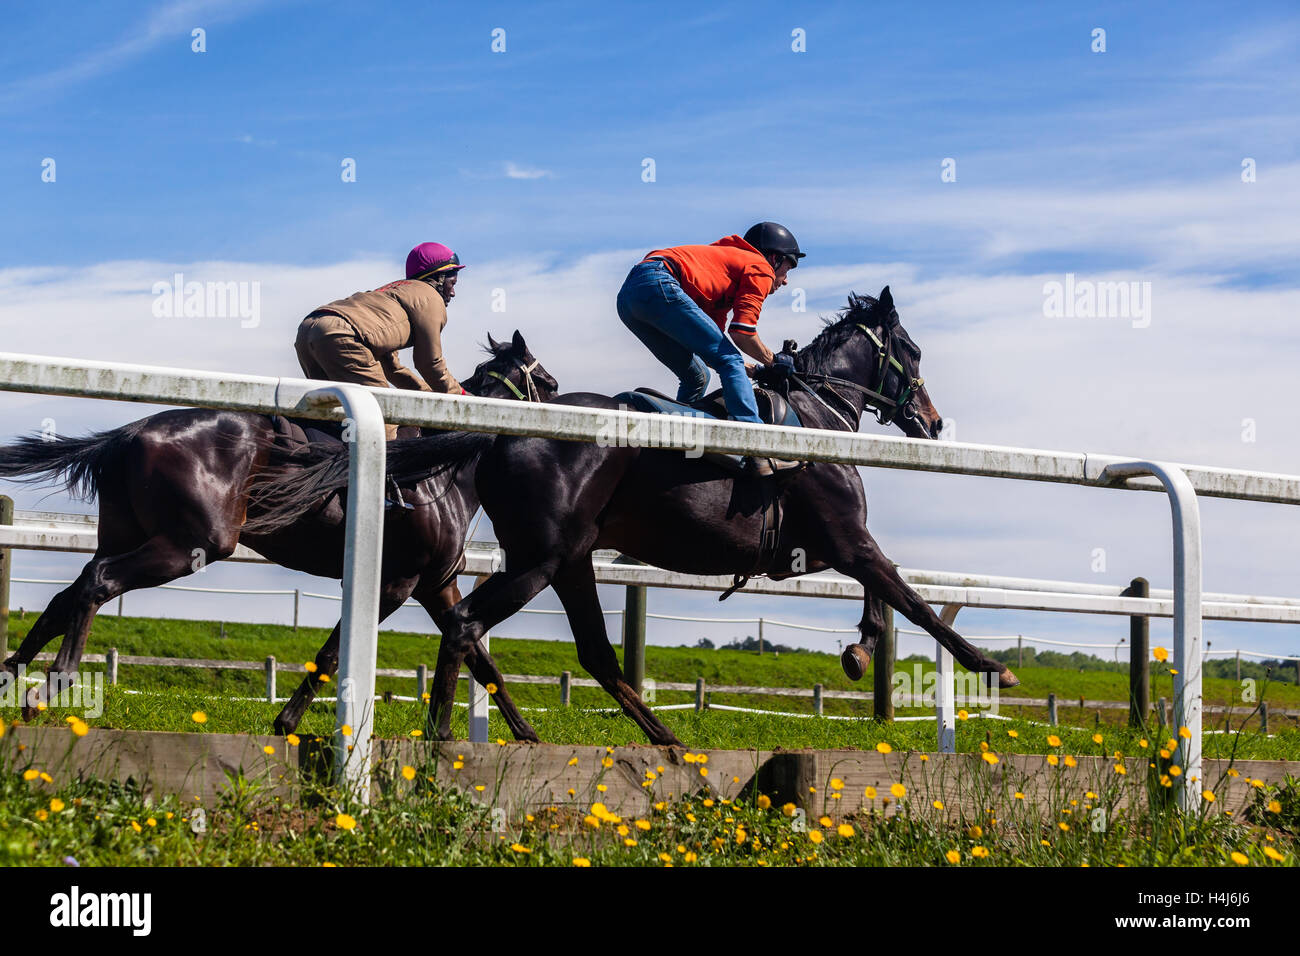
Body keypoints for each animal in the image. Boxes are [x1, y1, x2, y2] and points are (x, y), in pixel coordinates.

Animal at [0, 331, 557, 733]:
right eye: (549, 385)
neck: (442, 472)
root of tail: (129, 432)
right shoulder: (395, 584)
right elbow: (333, 652)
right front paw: (286, 722)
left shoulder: (437, 586)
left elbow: (481, 658)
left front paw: (527, 734)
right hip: (193, 544)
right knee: (99, 584)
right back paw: (51, 686)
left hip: (127, 533)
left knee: (69, 594)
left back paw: (12, 674)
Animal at [251, 289, 1019, 747]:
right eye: (912, 352)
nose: (932, 421)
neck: (813, 419)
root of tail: (498, 435)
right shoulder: (845, 537)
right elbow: (909, 597)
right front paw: (989, 667)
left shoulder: (827, 546)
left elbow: (884, 598)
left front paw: (860, 649)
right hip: (539, 559)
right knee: (470, 627)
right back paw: (442, 741)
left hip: (568, 559)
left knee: (591, 651)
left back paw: (667, 741)